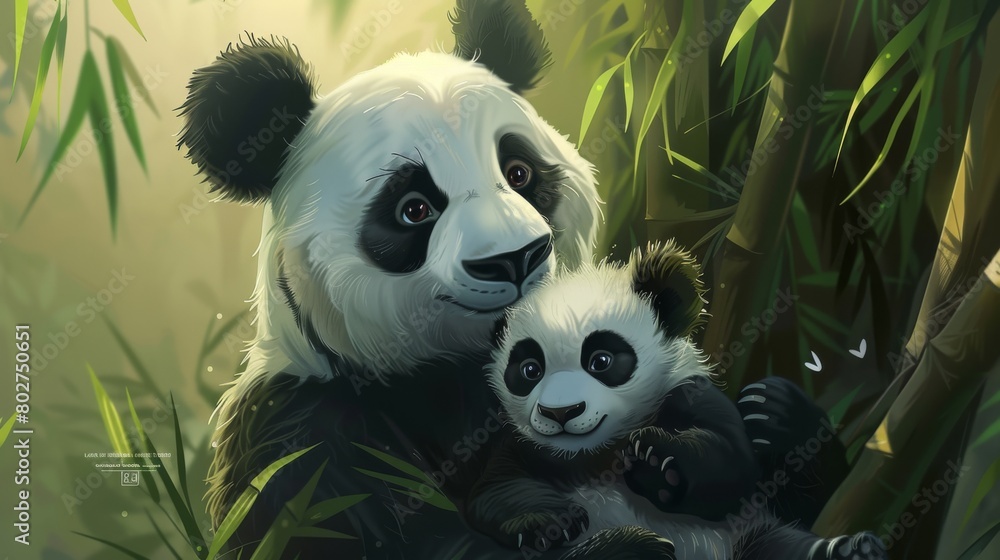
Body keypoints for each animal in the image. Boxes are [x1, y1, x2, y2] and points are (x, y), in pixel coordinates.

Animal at [479, 241, 886, 560]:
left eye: (601, 361)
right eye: (530, 370)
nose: (560, 412)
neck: (597, 454)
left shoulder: (686, 393)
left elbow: (731, 462)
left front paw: (658, 463)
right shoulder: (525, 445)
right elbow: (499, 485)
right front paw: (545, 522)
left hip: (745, 538)